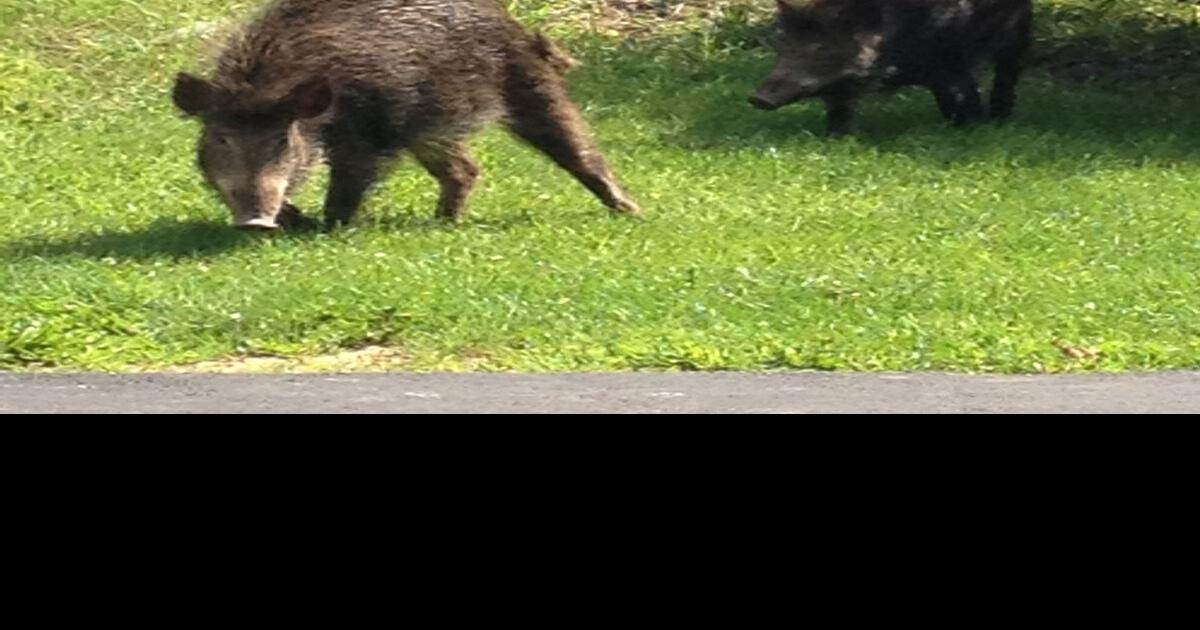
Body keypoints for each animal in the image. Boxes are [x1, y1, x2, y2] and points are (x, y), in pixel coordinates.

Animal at [172, 0, 641, 230]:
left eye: (281, 140)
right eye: (220, 138)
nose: (254, 221)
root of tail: (514, 23)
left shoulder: (372, 133)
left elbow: (349, 185)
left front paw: (327, 228)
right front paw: (295, 220)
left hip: (527, 84)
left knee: (578, 150)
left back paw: (632, 212)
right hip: (429, 129)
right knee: (465, 168)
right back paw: (444, 223)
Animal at [749, 0, 1034, 135]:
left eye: (820, 48)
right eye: (784, 45)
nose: (757, 98)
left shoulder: (952, 62)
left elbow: (966, 94)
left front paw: (973, 127)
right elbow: (838, 109)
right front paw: (835, 138)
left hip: (1017, 33)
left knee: (1008, 69)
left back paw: (999, 115)